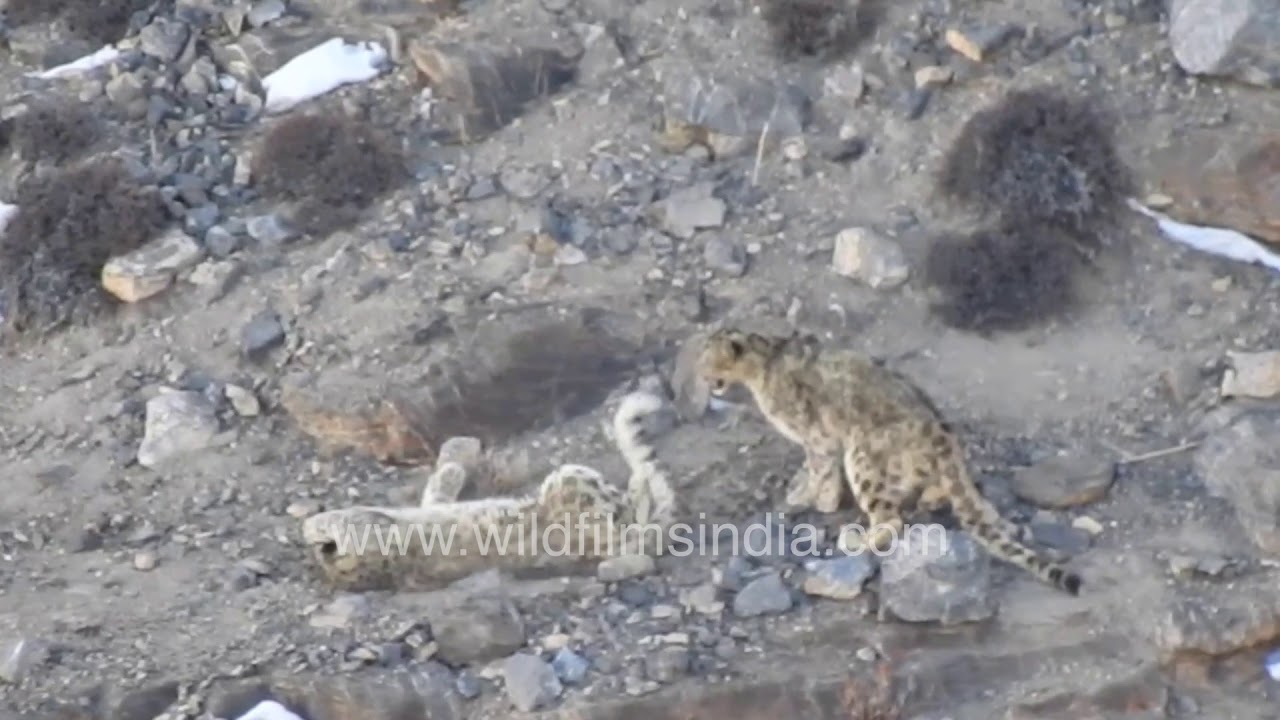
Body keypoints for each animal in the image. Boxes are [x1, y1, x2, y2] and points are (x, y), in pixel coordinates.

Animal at [300, 390, 677, 592]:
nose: (308, 524)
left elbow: (433, 490)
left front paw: (450, 464)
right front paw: (452, 468)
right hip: (572, 480)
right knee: (643, 506)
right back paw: (637, 482)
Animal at [693, 327, 1083, 596]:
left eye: (707, 362)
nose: (703, 381)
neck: (762, 369)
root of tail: (941, 435)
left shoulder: (818, 440)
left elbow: (821, 471)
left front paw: (813, 499)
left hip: (863, 457)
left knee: (890, 518)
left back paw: (857, 540)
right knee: (975, 502)